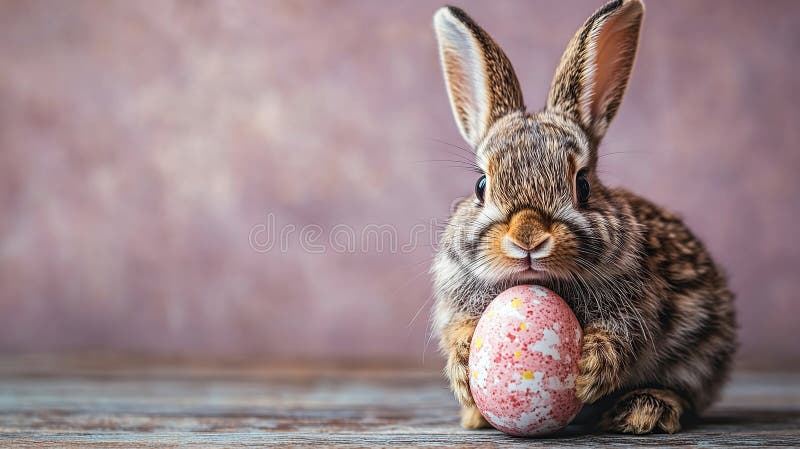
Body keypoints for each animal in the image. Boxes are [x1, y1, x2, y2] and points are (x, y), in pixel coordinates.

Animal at [430, 0, 737, 435]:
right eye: (480, 185)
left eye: (583, 185)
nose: (528, 238)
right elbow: (457, 332)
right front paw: (461, 366)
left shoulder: (636, 310)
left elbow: (621, 340)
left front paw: (588, 372)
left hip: (701, 349)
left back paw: (646, 410)